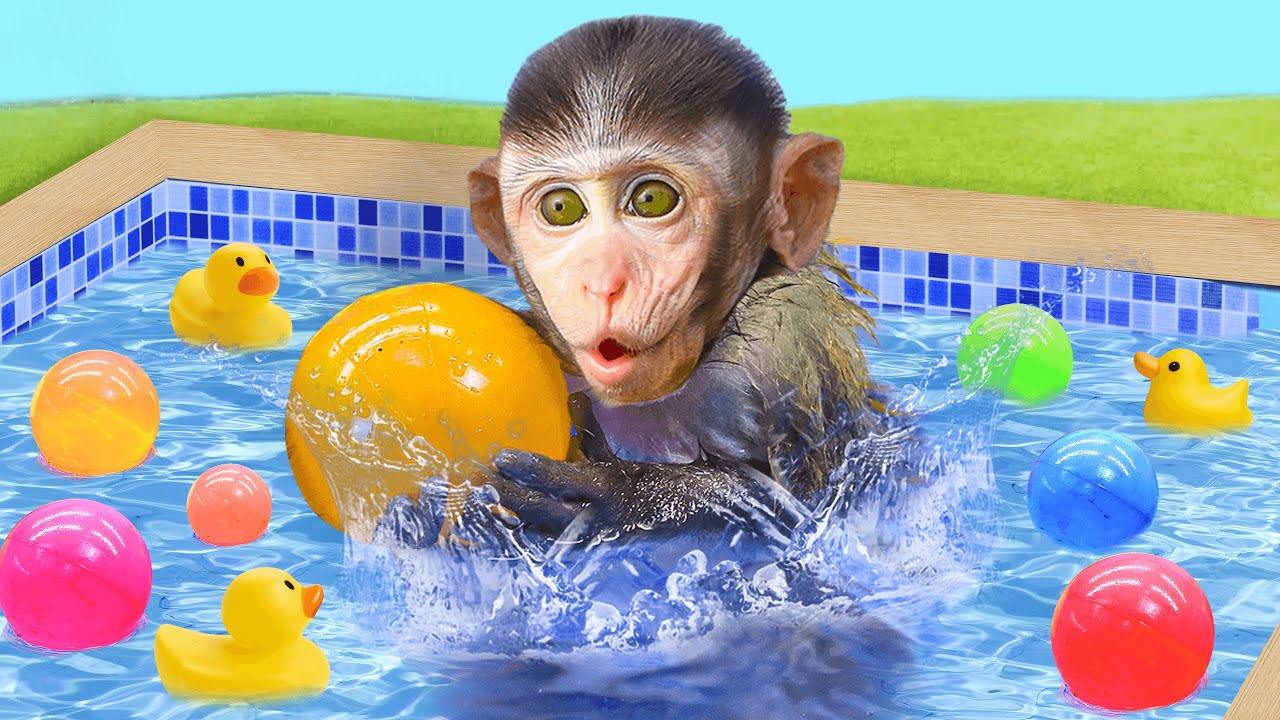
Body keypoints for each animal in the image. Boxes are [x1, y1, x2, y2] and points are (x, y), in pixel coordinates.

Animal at [383, 16, 917, 549]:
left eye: (652, 199)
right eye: (561, 207)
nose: (602, 282)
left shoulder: (789, 345)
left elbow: (812, 525)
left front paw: (629, 492)